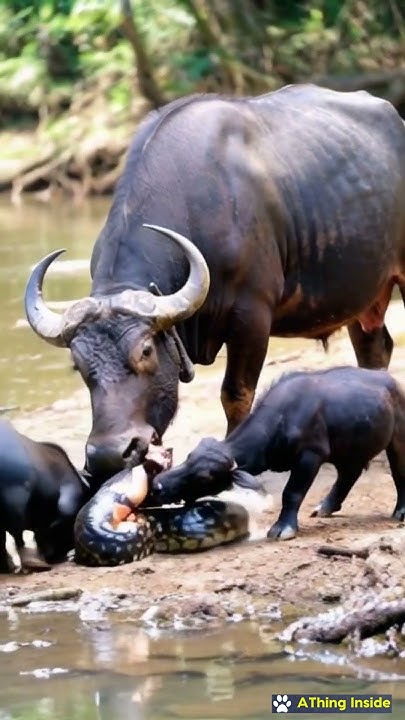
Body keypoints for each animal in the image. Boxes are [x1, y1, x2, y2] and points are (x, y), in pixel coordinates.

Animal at [24, 84, 405, 480]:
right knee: (373, 349)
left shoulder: (253, 316)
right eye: (78, 364)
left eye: (145, 351)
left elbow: (236, 393)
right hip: (364, 297)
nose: (109, 455)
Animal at [151, 366, 405, 540]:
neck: (282, 419)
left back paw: (400, 511)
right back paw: (326, 507)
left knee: (397, 472)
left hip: (396, 440)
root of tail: (391, 381)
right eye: (188, 457)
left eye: (205, 477)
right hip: (348, 448)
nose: (158, 485)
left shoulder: (310, 456)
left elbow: (291, 492)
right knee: (349, 474)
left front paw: (283, 528)